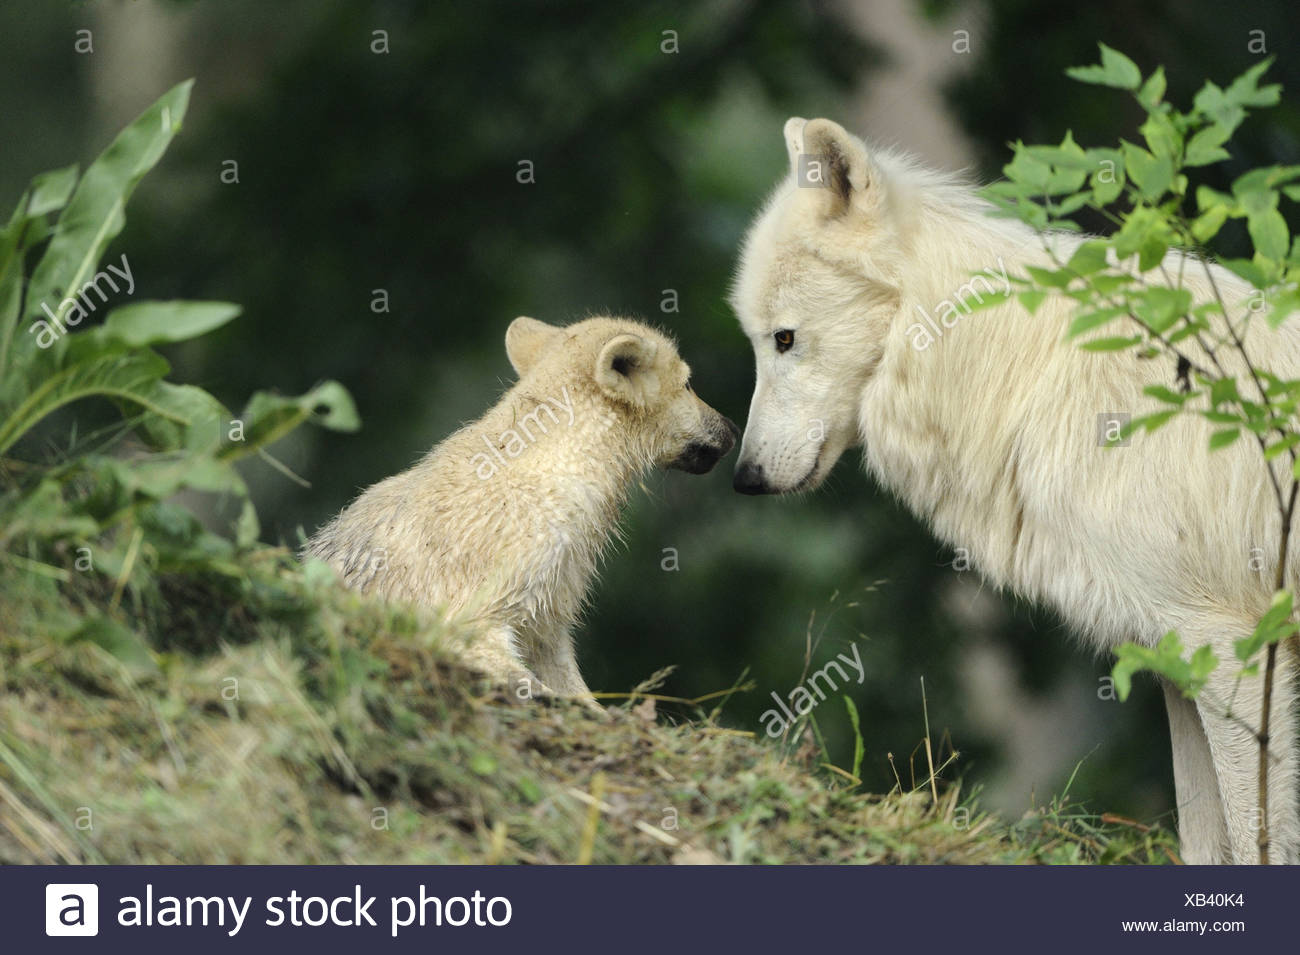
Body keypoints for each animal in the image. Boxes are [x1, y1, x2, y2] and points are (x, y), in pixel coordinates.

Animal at [729, 116, 1299, 863]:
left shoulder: (1231, 645)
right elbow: (1206, 840)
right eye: (762, 341)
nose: (743, 477)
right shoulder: (1178, 654)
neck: (1022, 370)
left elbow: (1261, 841)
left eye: (785, 339)